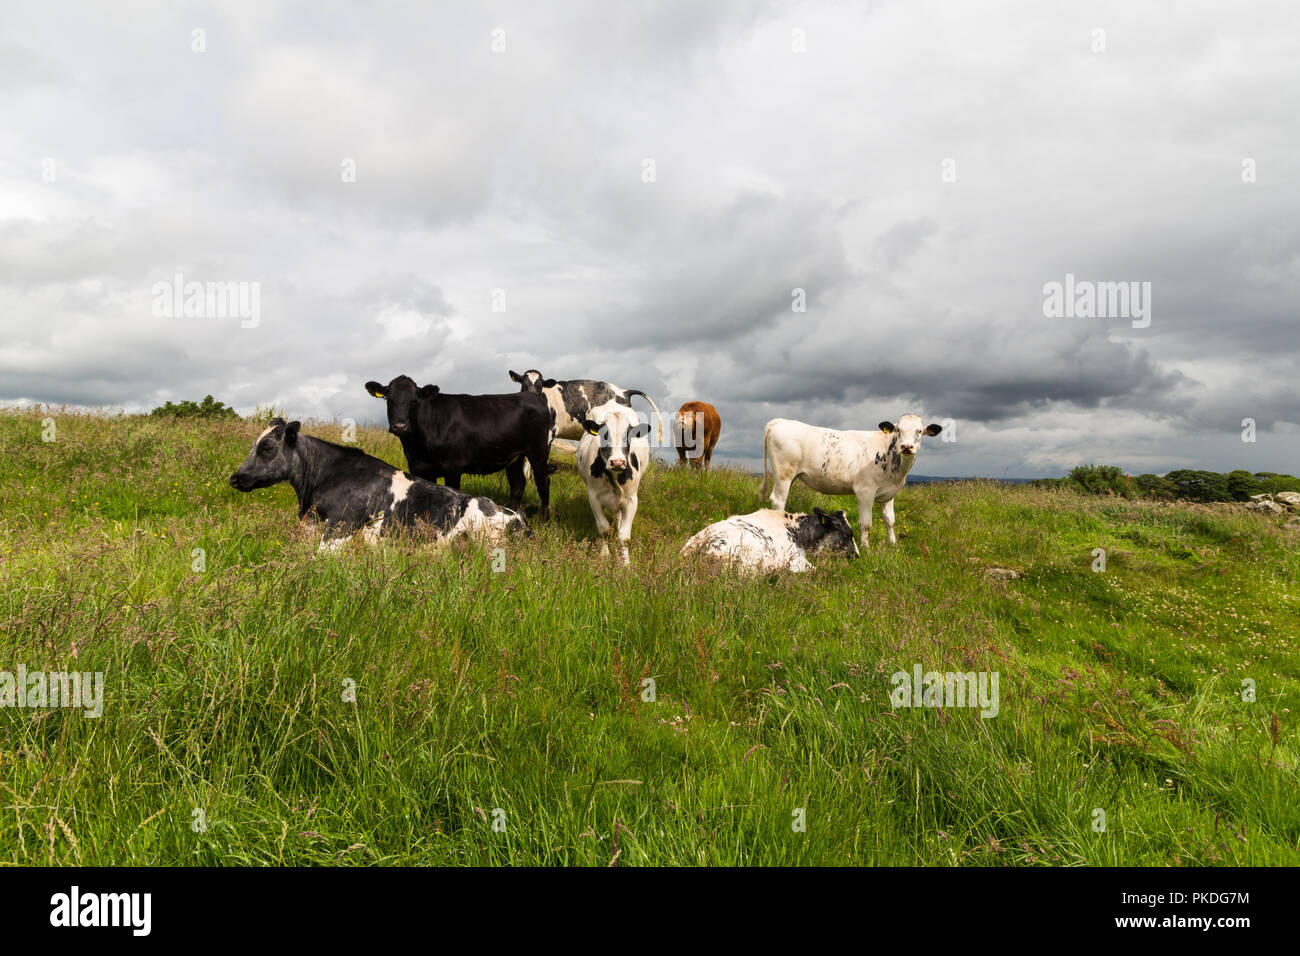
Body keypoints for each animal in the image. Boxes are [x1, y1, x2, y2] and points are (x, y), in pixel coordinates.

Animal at [365, 375, 553, 517]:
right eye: (389, 399)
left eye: (414, 401)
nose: (400, 426)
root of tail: (533, 397)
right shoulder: (418, 467)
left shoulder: (453, 466)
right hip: (515, 456)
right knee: (517, 486)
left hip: (538, 452)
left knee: (543, 482)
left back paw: (544, 519)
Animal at [576, 404, 652, 565]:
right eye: (603, 435)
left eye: (629, 436)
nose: (617, 462)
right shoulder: (593, 497)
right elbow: (604, 529)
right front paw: (604, 556)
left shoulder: (631, 500)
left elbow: (625, 537)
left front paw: (625, 562)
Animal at [759, 414, 943, 547]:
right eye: (897, 429)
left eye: (919, 431)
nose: (906, 447)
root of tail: (779, 421)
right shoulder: (865, 491)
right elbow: (866, 523)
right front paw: (866, 547)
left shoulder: (889, 493)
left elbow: (890, 520)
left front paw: (893, 544)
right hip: (784, 474)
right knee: (778, 500)